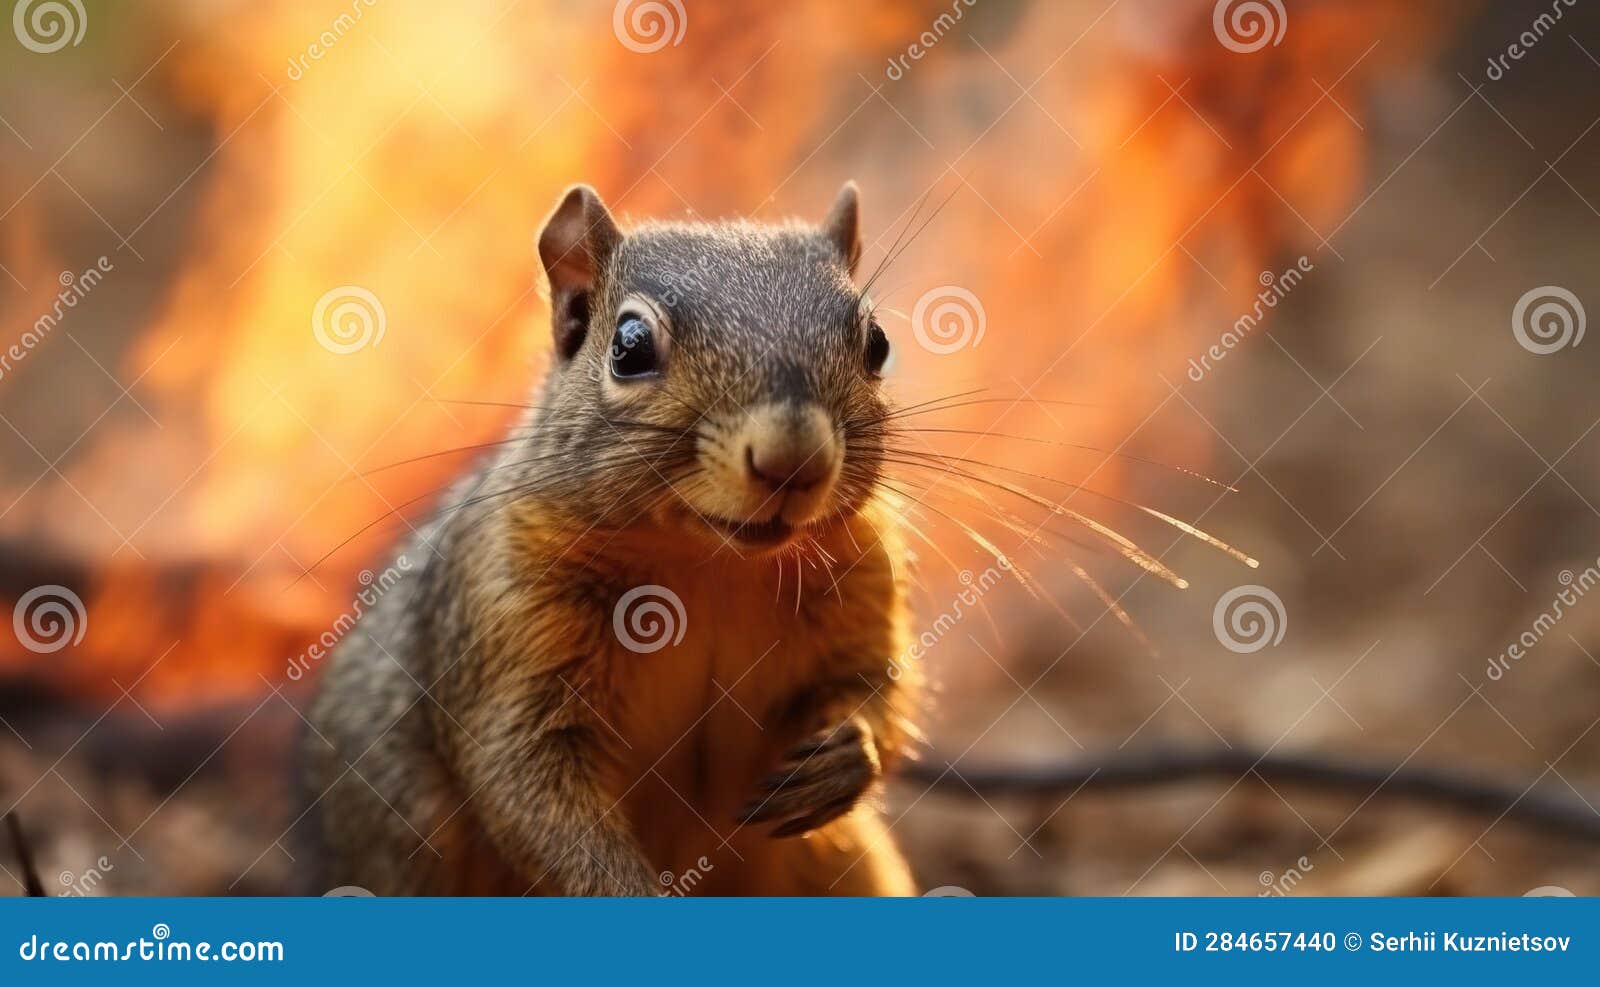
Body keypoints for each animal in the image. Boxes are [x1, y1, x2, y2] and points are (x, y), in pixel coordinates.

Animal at [306, 181, 924, 895]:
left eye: (877, 343)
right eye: (629, 347)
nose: (794, 460)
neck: (711, 565)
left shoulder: (864, 577)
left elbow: (876, 685)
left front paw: (849, 754)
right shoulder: (505, 608)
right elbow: (526, 783)